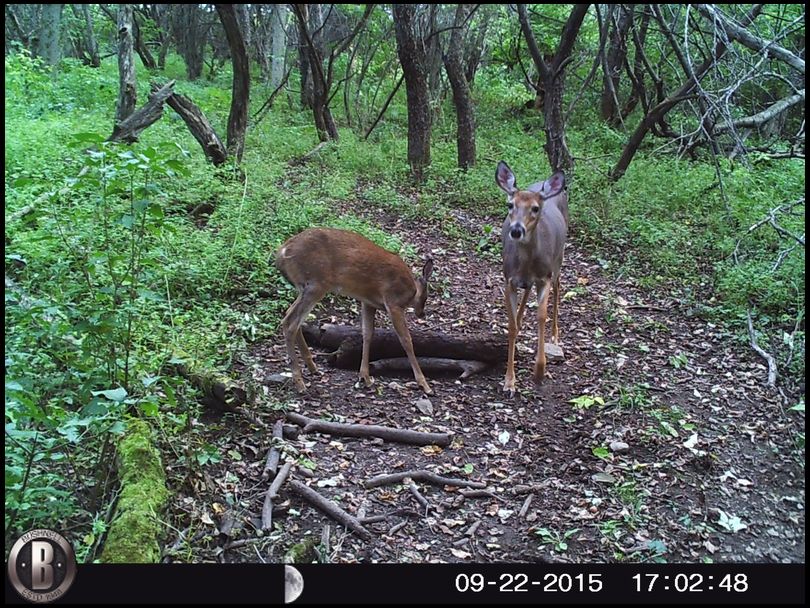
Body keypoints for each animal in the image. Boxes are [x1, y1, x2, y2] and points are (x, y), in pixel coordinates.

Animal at [275, 227, 434, 395]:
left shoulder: (368, 302)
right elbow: (406, 340)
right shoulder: (393, 303)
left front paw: (365, 377)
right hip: (316, 284)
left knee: (290, 316)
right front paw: (424, 384)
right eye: (426, 297)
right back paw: (299, 382)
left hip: (304, 287)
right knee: (290, 323)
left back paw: (312, 368)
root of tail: (282, 253)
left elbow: (368, 334)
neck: (411, 291)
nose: (421, 313)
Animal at [495, 161, 568, 394]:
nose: (516, 230)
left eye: (535, 208)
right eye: (510, 205)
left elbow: (541, 316)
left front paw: (539, 371)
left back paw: (555, 334)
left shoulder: (544, 278)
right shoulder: (508, 279)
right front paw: (509, 382)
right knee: (526, 291)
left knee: (559, 286)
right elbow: (510, 326)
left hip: (559, 258)